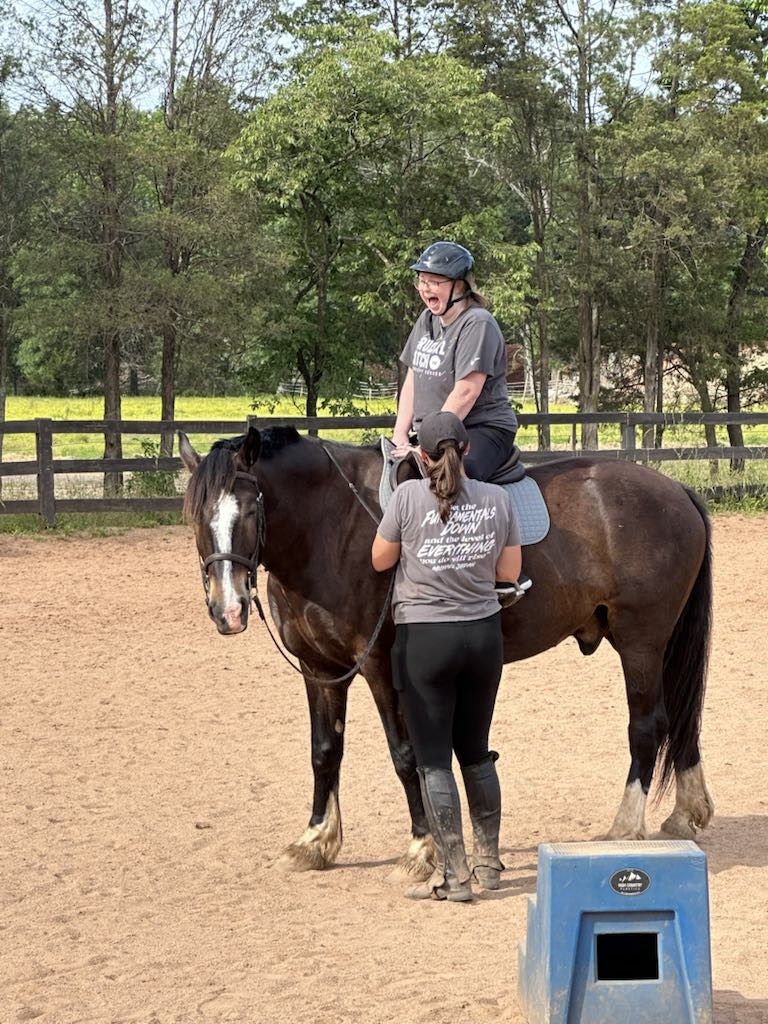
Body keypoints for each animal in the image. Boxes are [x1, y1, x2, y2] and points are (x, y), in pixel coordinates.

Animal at [179, 425, 714, 878]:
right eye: (196, 518)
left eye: (250, 512)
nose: (227, 609)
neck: (334, 529)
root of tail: (675, 490)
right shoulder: (319, 669)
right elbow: (324, 751)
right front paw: (315, 840)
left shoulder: (380, 666)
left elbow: (404, 755)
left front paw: (421, 849)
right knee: (681, 719)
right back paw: (685, 813)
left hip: (641, 642)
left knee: (647, 725)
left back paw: (625, 828)